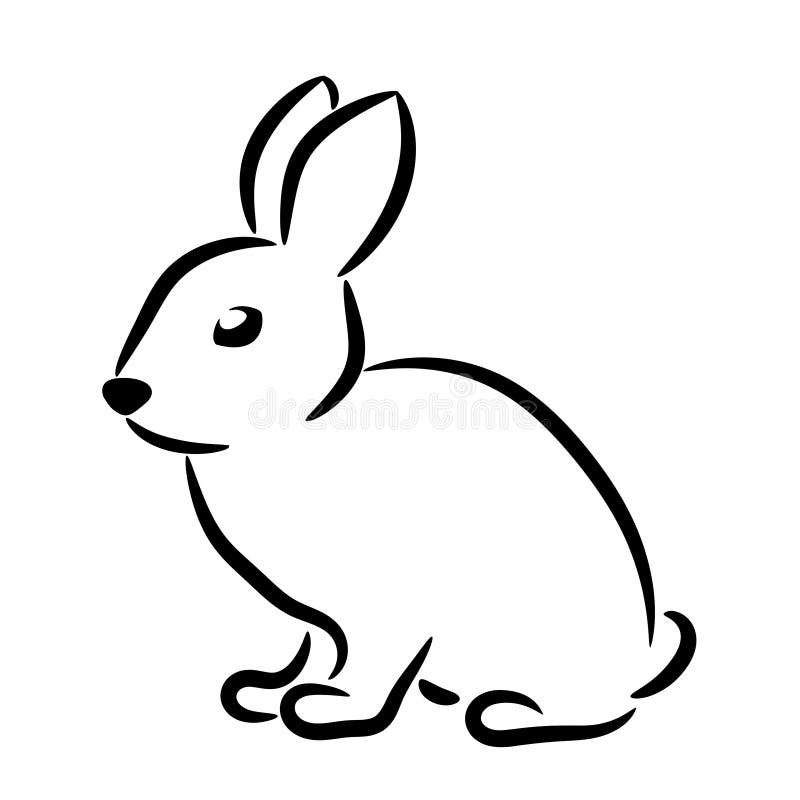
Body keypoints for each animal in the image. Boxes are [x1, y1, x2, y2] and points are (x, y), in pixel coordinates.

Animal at [101, 76, 695, 747]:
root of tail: (639, 662)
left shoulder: (384, 609)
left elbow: (372, 662)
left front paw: (328, 709)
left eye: (237, 324)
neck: (297, 427)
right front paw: (264, 691)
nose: (123, 392)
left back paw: (508, 714)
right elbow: (313, 646)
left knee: (599, 712)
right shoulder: (318, 617)